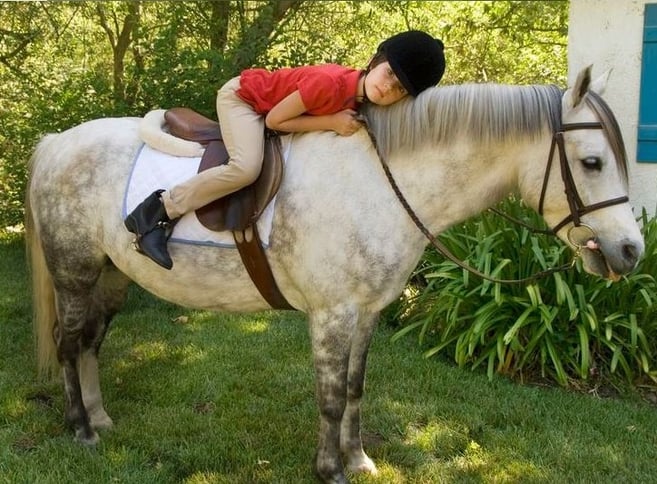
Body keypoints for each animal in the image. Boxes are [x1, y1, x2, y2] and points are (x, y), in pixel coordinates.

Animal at [25, 66, 644, 483]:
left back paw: (102, 419)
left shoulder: (367, 311)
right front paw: (329, 468)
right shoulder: (332, 313)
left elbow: (353, 388)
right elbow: (326, 395)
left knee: (90, 343)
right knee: (68, 343)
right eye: (592, 162)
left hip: (111, 276)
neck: (380, 181)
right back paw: (81, 429)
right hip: (75, 273)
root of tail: (57, 144)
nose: (631, 250)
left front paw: (358, 458)